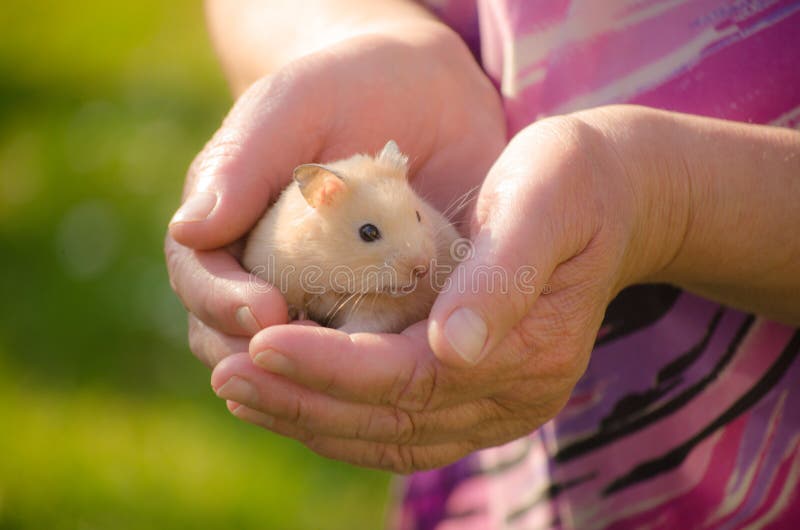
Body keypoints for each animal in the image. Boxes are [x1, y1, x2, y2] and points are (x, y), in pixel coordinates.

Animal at [242, 140, 461, 334]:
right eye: (368, 232)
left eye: (418, 215)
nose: (423, 269)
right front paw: (296, 313)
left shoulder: (382, 311)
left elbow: (366, 323)